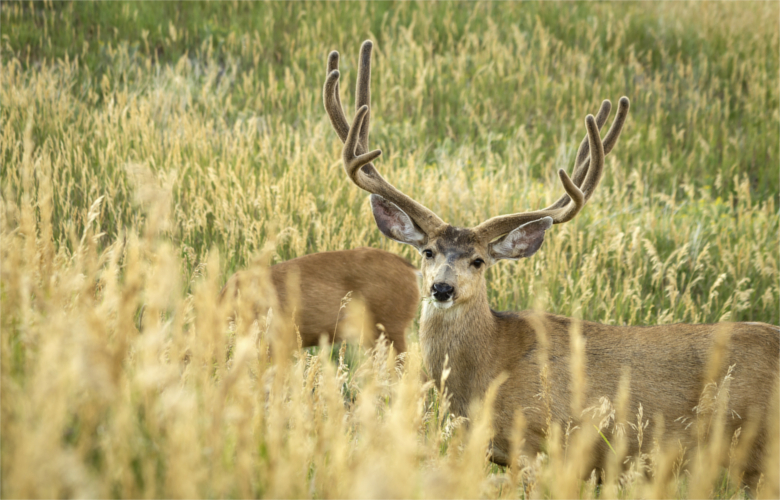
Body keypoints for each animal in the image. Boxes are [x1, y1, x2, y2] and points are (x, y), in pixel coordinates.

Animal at [323, 40, 779, 491]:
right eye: (428, 252)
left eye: (478, 261)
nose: (442, 288)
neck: (488, 366)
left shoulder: (537, 440)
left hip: (755, 449)